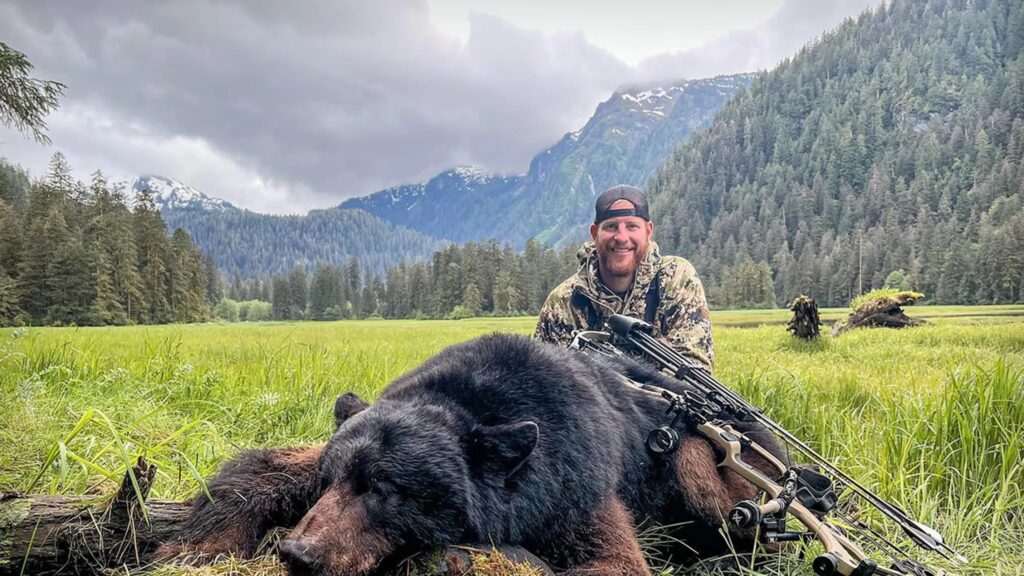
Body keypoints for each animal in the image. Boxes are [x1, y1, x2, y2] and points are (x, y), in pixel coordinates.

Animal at [156, 333, 784, 575]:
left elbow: (608, 560)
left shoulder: (575, 482)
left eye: (387, 490)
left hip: (706, 458)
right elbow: (264, 467)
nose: (298, 554)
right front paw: (193, 547)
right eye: (334, 482)